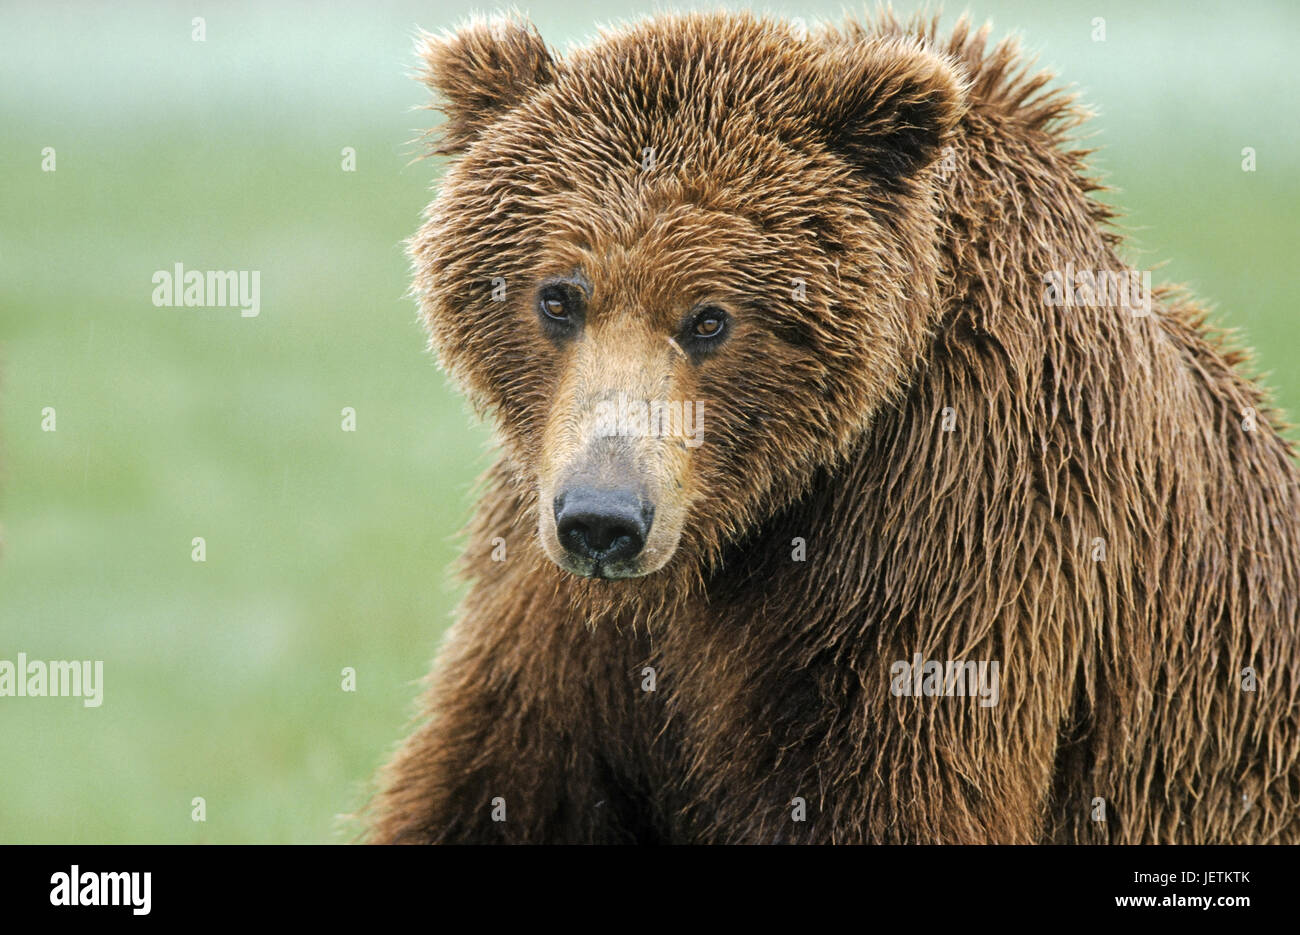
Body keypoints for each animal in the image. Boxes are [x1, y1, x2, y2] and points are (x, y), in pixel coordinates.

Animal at [366, 10, 1300, 844]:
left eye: (710, 317)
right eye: (559, 296)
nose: (604, 519)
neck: (738, 527)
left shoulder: (953, 540)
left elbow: (888, 790)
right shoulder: (553, 611)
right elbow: (495, 787)